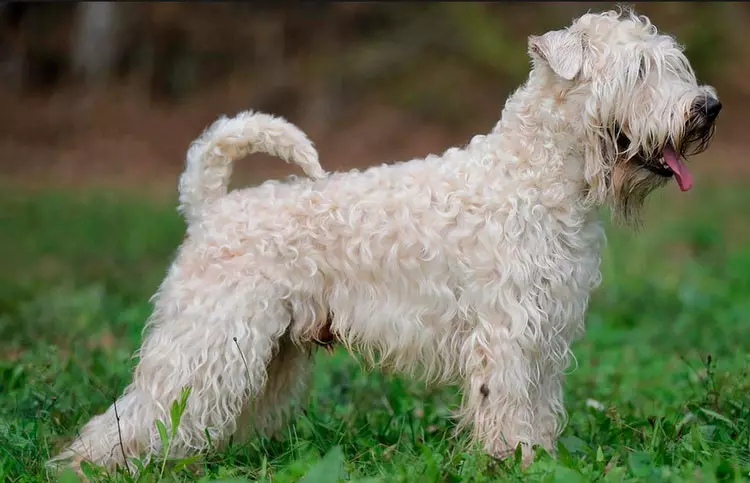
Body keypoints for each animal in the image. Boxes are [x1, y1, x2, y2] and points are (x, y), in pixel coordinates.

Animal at [51, 7, 724, 472]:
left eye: (673, 65)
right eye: (638, 71)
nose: (708, 107)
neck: (538, 177)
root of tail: (210, 207)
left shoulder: (544, 333)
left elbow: (536, 405)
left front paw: (539, 459)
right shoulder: (506, 333)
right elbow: (507, 405)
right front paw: (513, 462)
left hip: (268, 350)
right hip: (208, 337)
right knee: (142, 408)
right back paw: (86, 464)